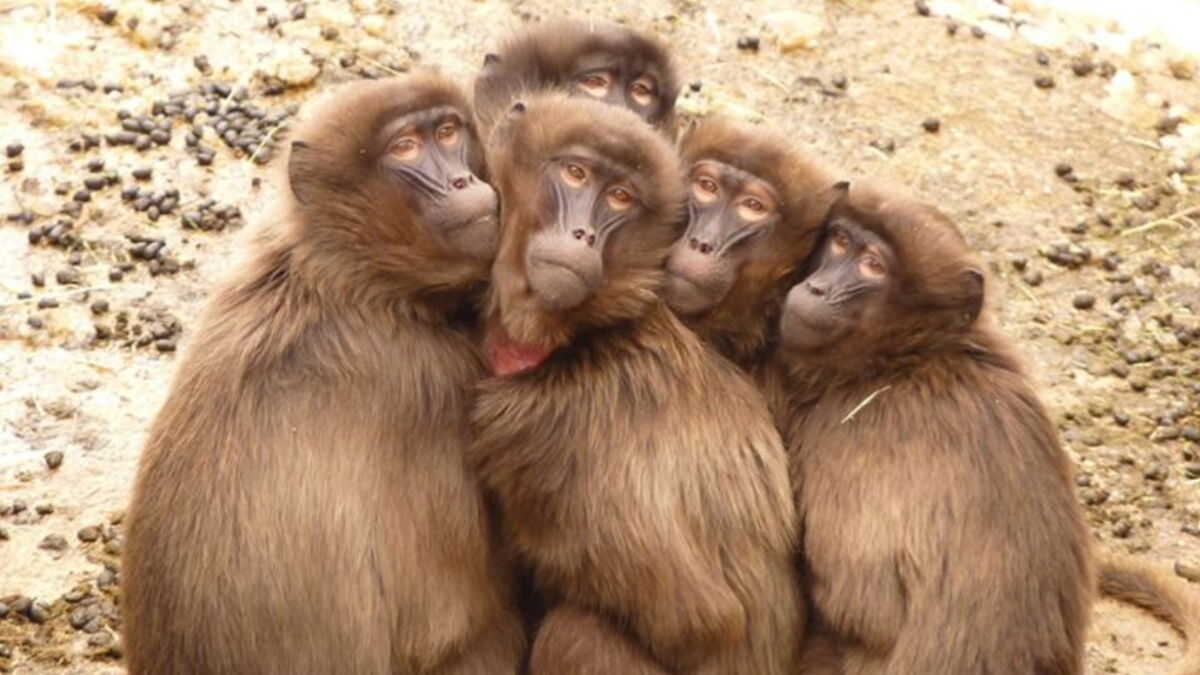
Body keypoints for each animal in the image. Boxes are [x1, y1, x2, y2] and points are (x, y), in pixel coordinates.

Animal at [121, 73, 525, 675]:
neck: (352, 284)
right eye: (406, 147)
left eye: (448, 131)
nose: (461, 179)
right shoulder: (428, 381)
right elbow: (447, 624)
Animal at [470, 93, 804, 674]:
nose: (582, 235)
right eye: (576, 174)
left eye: (620, 198)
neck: (583, 337)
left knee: (578, 633)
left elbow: (698, 619)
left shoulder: (552, 430)